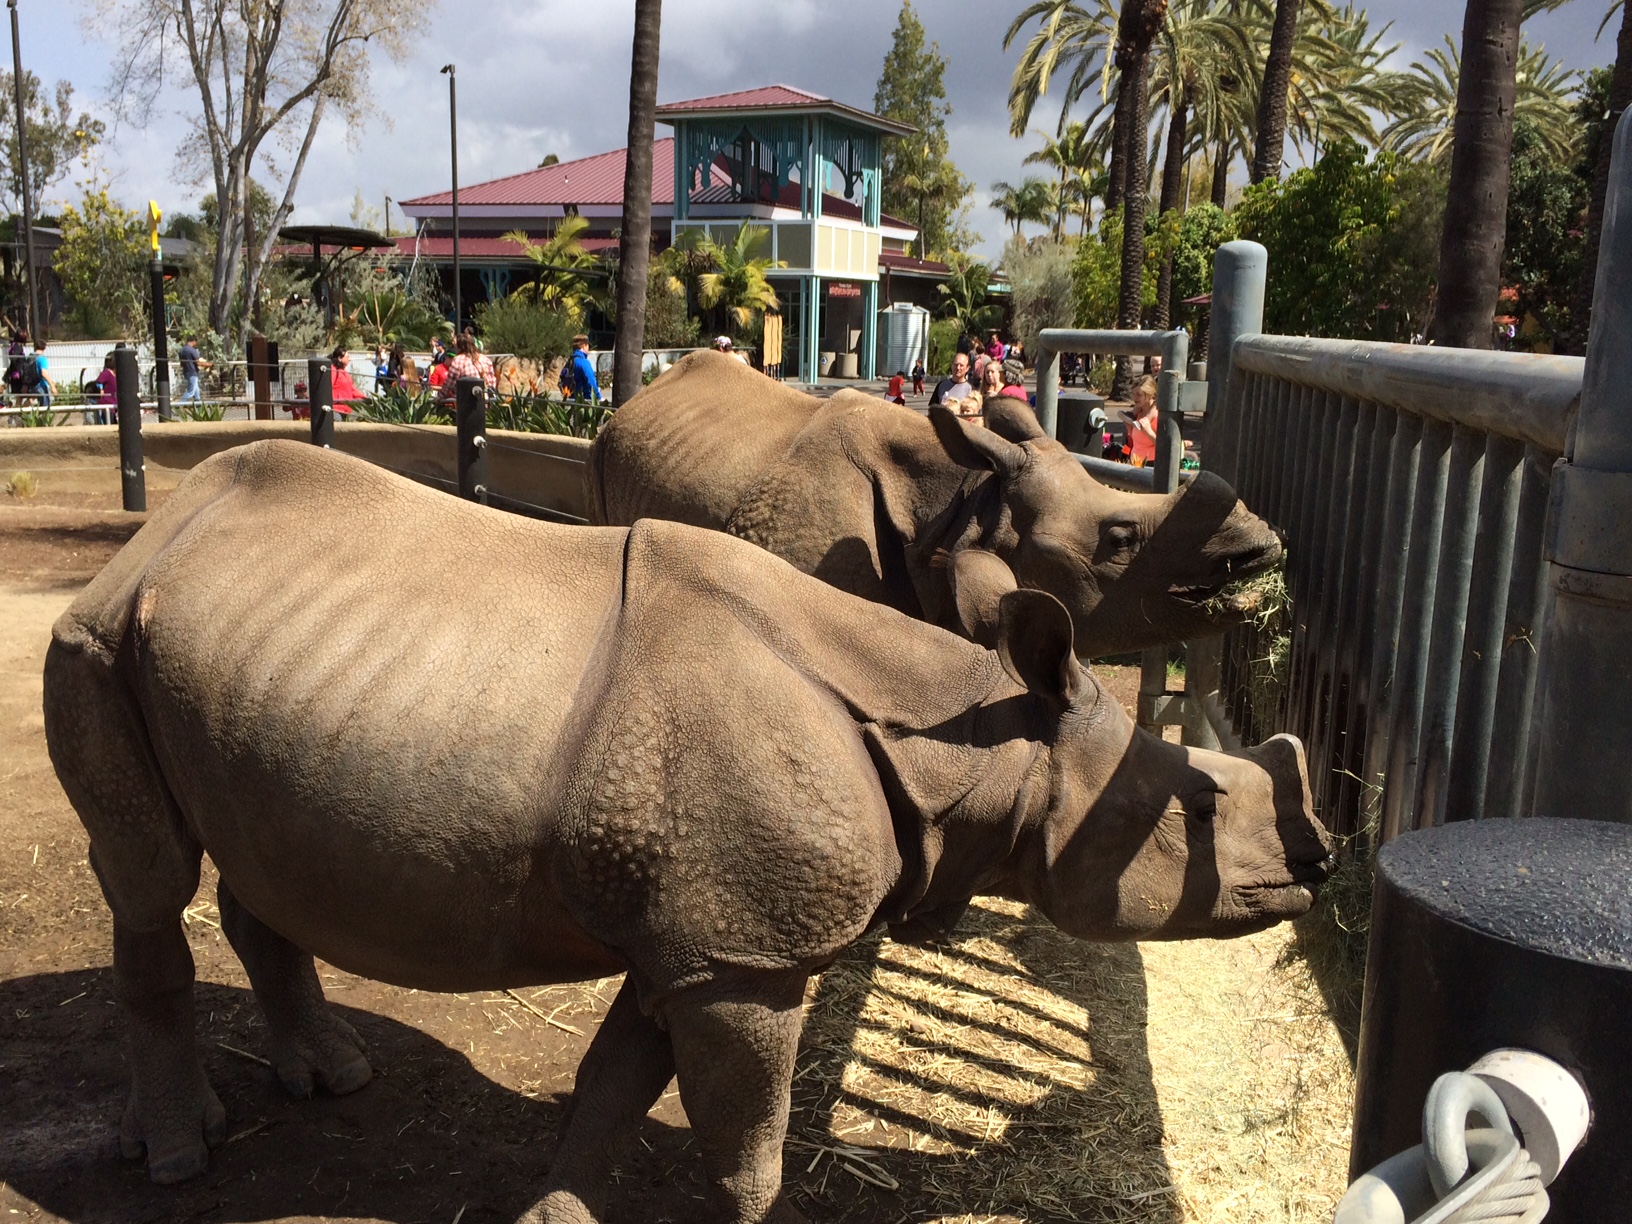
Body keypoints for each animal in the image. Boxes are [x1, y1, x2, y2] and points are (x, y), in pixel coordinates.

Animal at [45, 442, 1330, 1223]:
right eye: (1198, 808)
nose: (1314, 864)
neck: (977, 741)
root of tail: (157, 532)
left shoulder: (709, 938)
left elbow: (613, 1086)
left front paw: (553, 1209)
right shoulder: (748, 953)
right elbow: (743, 1145)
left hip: (238, 660)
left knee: (252, 859)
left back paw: (328, 1081)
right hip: (95, 642)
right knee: (147, 883)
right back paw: (181, 1155)